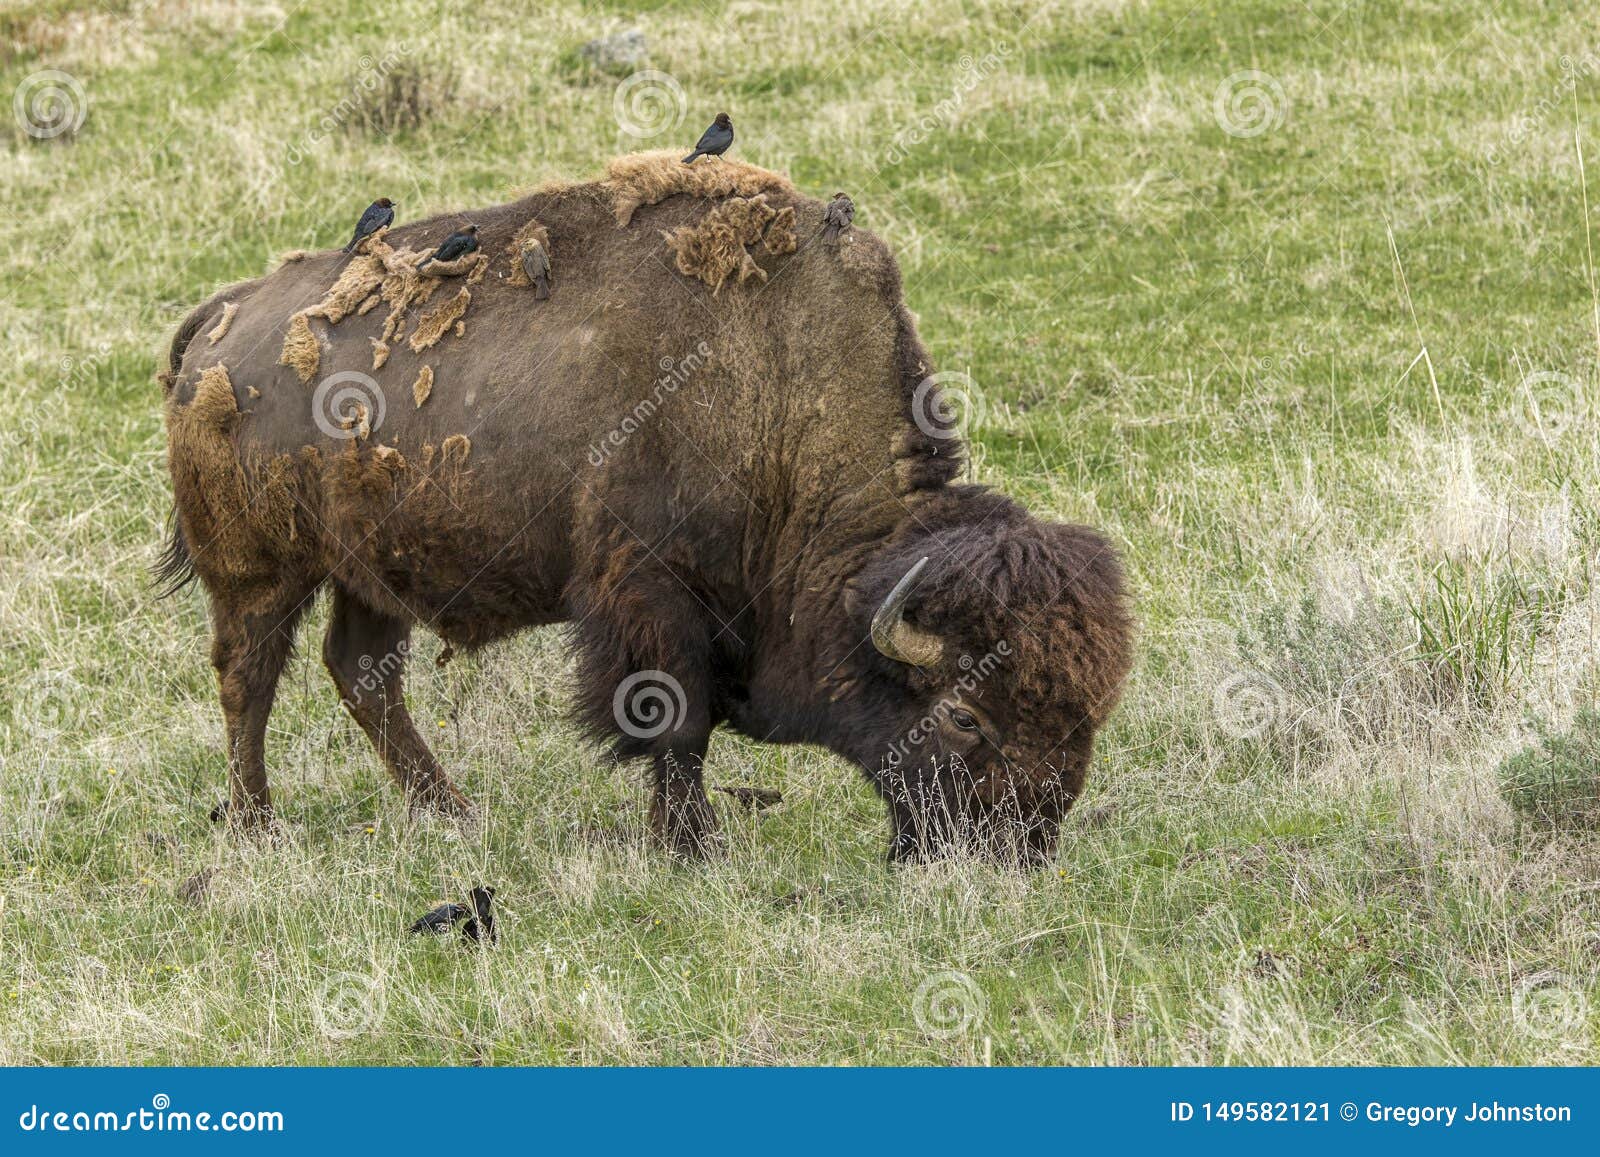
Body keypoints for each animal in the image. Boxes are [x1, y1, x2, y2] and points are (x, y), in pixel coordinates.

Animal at [155, 151, 1133, 865]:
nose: (1021, 849)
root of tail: (222, 317)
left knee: (361, 673)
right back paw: (258, 825)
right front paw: (691, 846)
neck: (776, 381)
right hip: (261, 572)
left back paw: (454, 813)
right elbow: (675, 720)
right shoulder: (652, 595)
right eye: (965, 714)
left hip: (370, 571)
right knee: (248, 679)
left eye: (1088, 714)